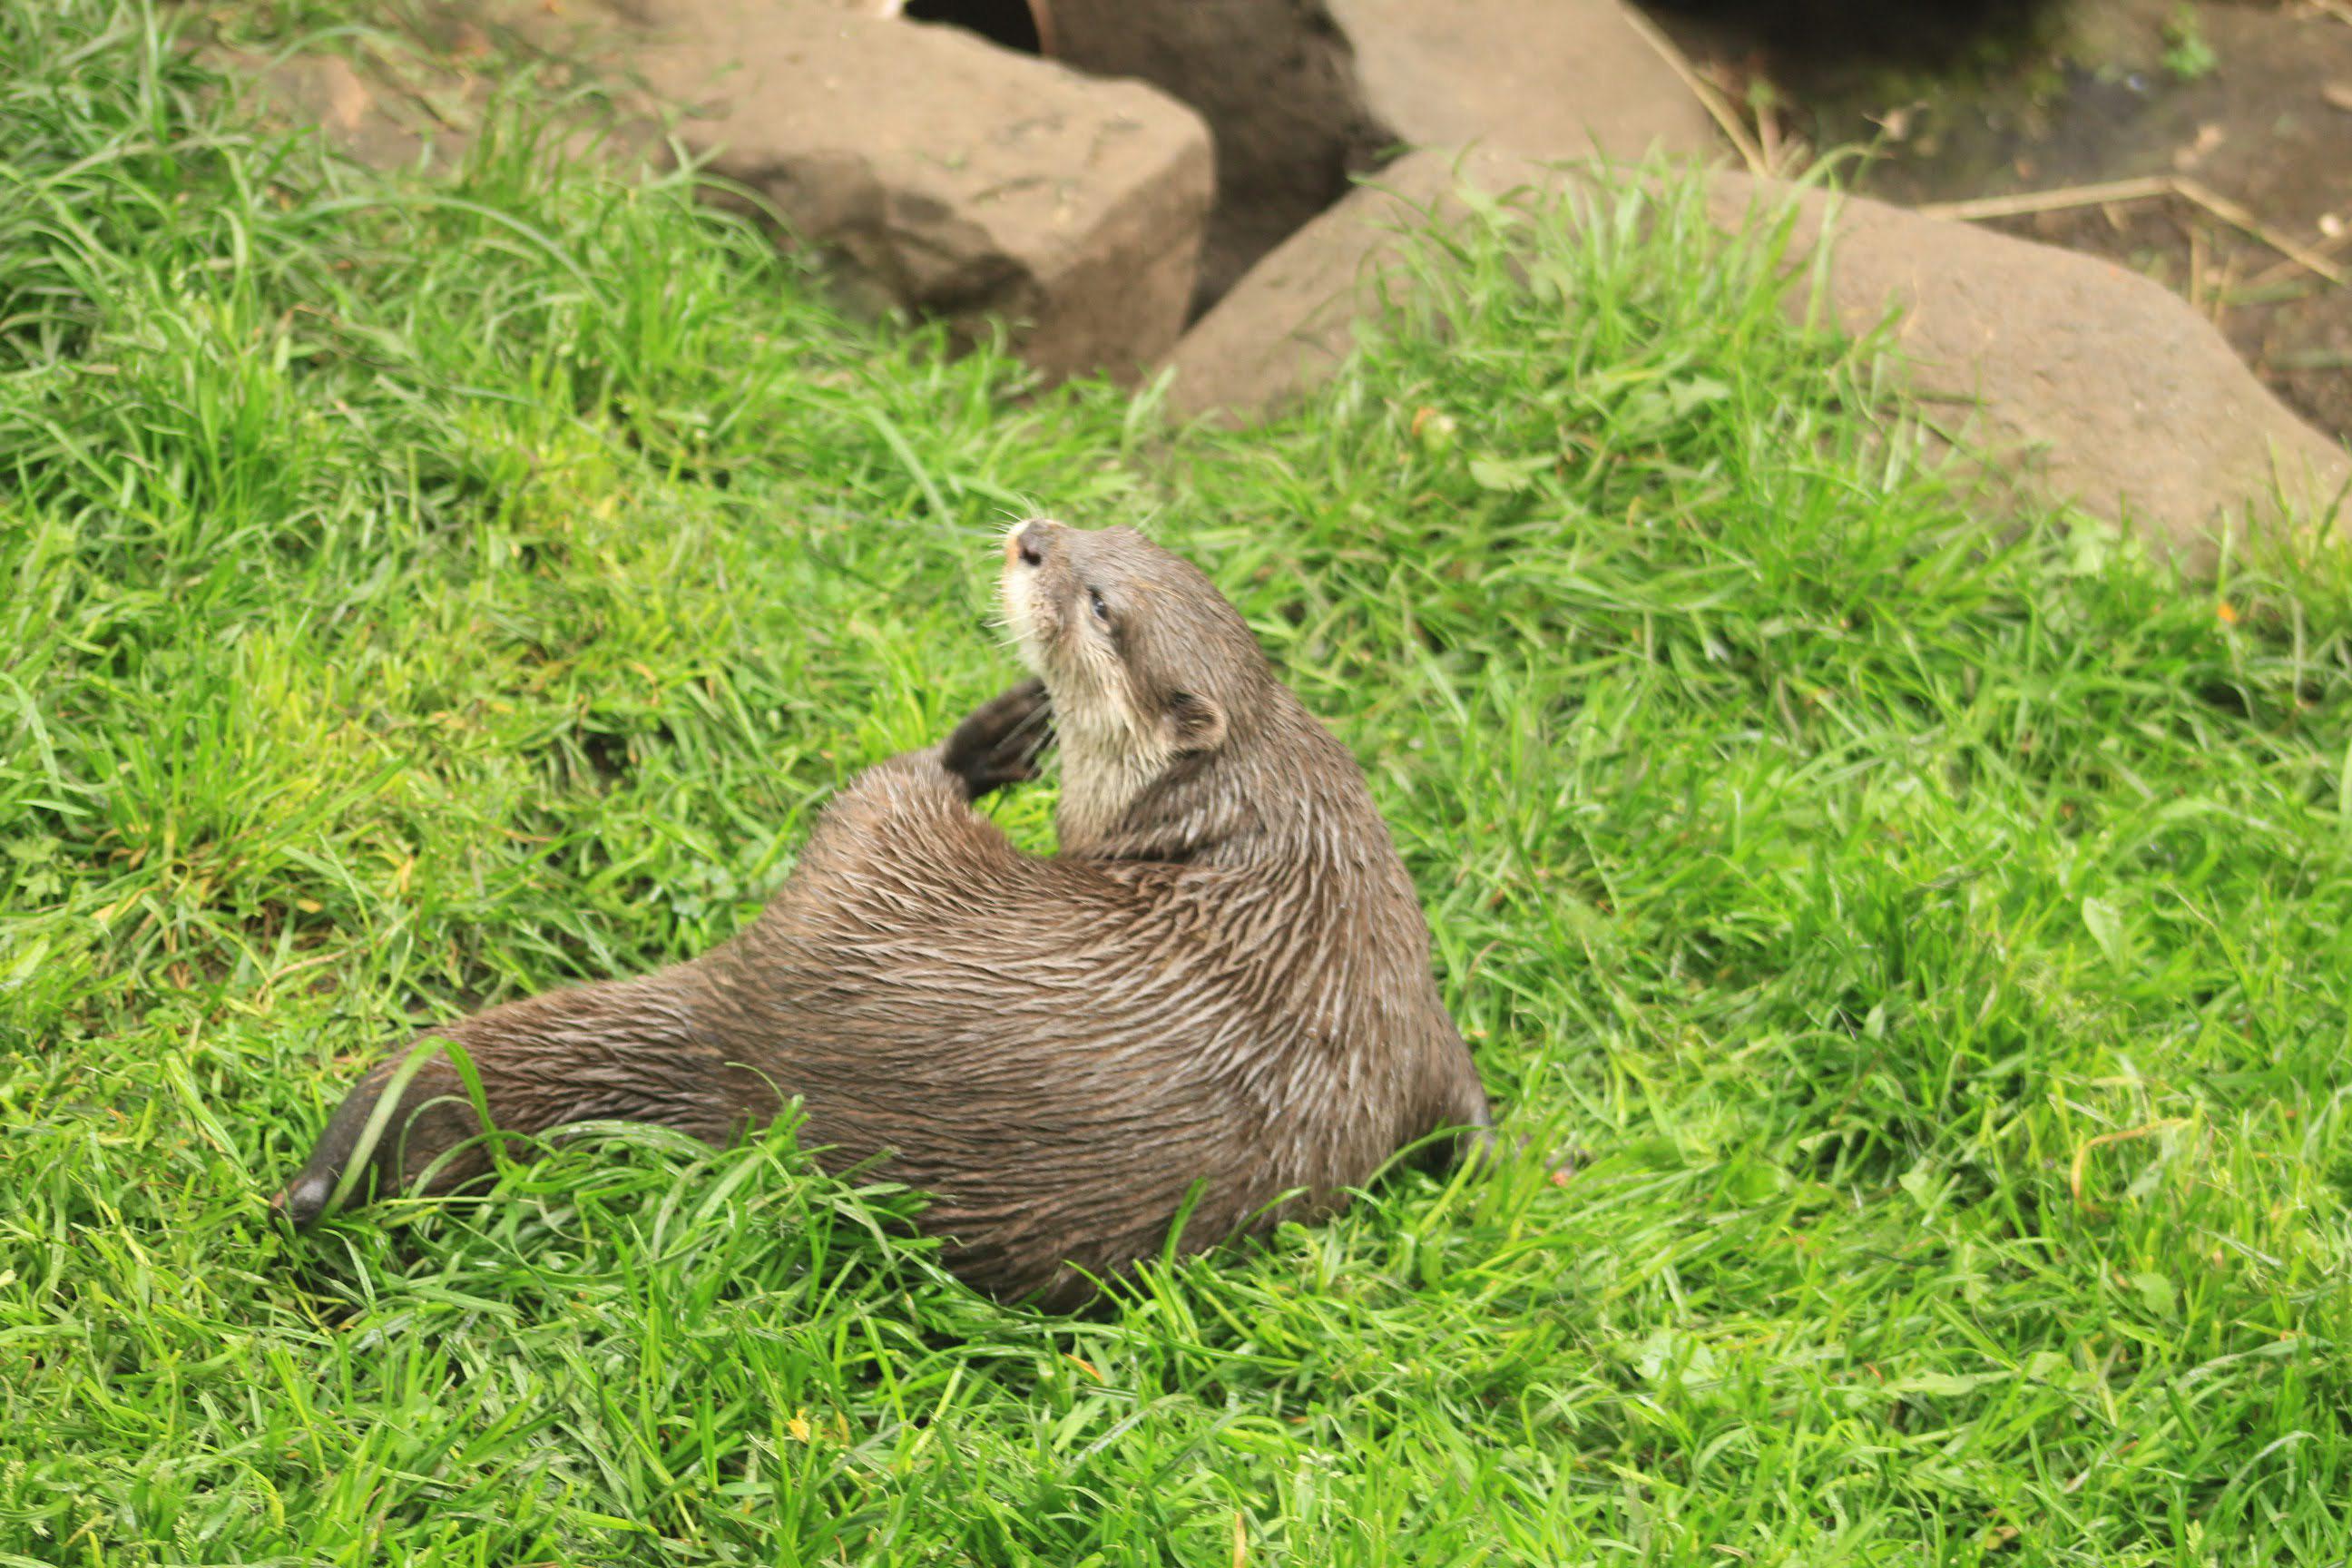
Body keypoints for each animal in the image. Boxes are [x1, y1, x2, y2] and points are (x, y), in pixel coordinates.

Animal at [276, 520, 1494, 1305]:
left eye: (1102, 605)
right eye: (1107, 525)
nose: (1032, 537)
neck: (1240, 794)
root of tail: (757, 1034)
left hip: (873, 852)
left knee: (899, 783)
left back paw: (989, 741)